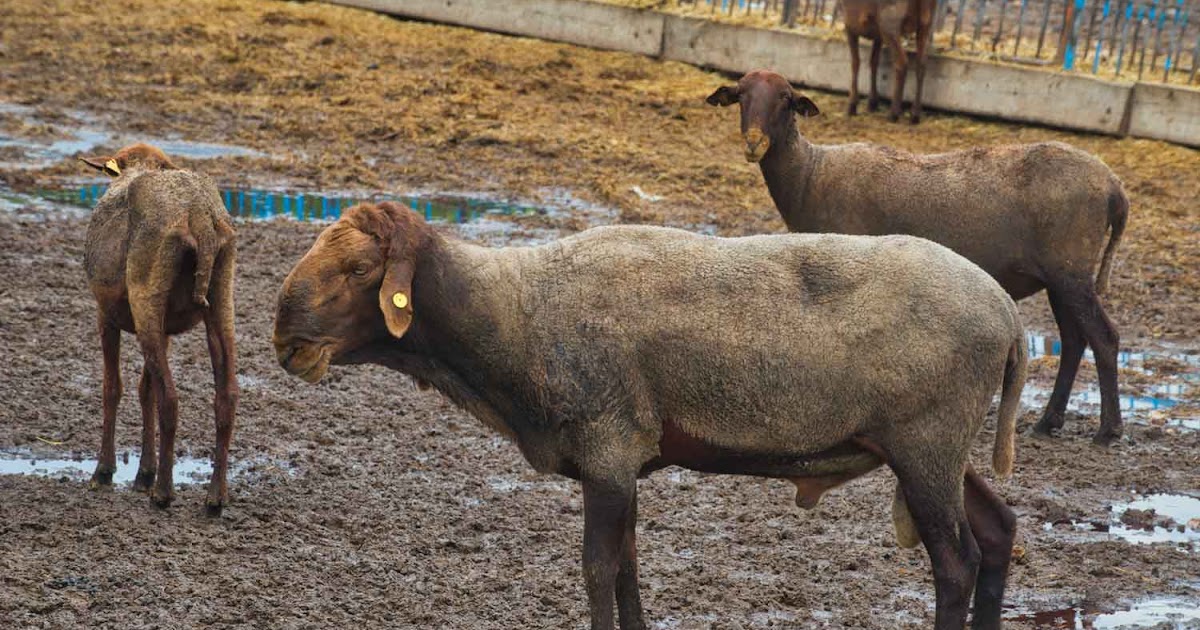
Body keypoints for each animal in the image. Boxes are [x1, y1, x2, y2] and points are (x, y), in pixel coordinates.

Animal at [79, 143, 238, 515]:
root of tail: (200, 217)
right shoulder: (164, 329)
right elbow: (144, 390)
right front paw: (143, 473)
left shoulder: (106, 314)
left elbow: (114, 388)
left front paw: (104, 471)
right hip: (221, 295)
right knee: (226, 395)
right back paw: (215, 497)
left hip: (145, 295)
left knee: (171, 398)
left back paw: (164, 492)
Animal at [272, 201, 1027, 630]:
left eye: (361, 267)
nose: (285, 338)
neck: (512, 313)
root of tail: (1009, 315)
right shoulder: (626, 457)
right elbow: (630, 564)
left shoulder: (606, 446)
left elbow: (598, 569)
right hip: (939, 447)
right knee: (998, 531)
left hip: (927, 444)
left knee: (956, 563)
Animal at [707, 69, 1129, 445]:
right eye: (741, 96)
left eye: (785, 98)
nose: (754, 143)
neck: (810, 175)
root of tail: (1114, 188)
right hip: (1060, 275)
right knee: (1074, 341)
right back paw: (1048, 422)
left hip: (1070, 270)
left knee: (1104, 337)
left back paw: (1108, 431)